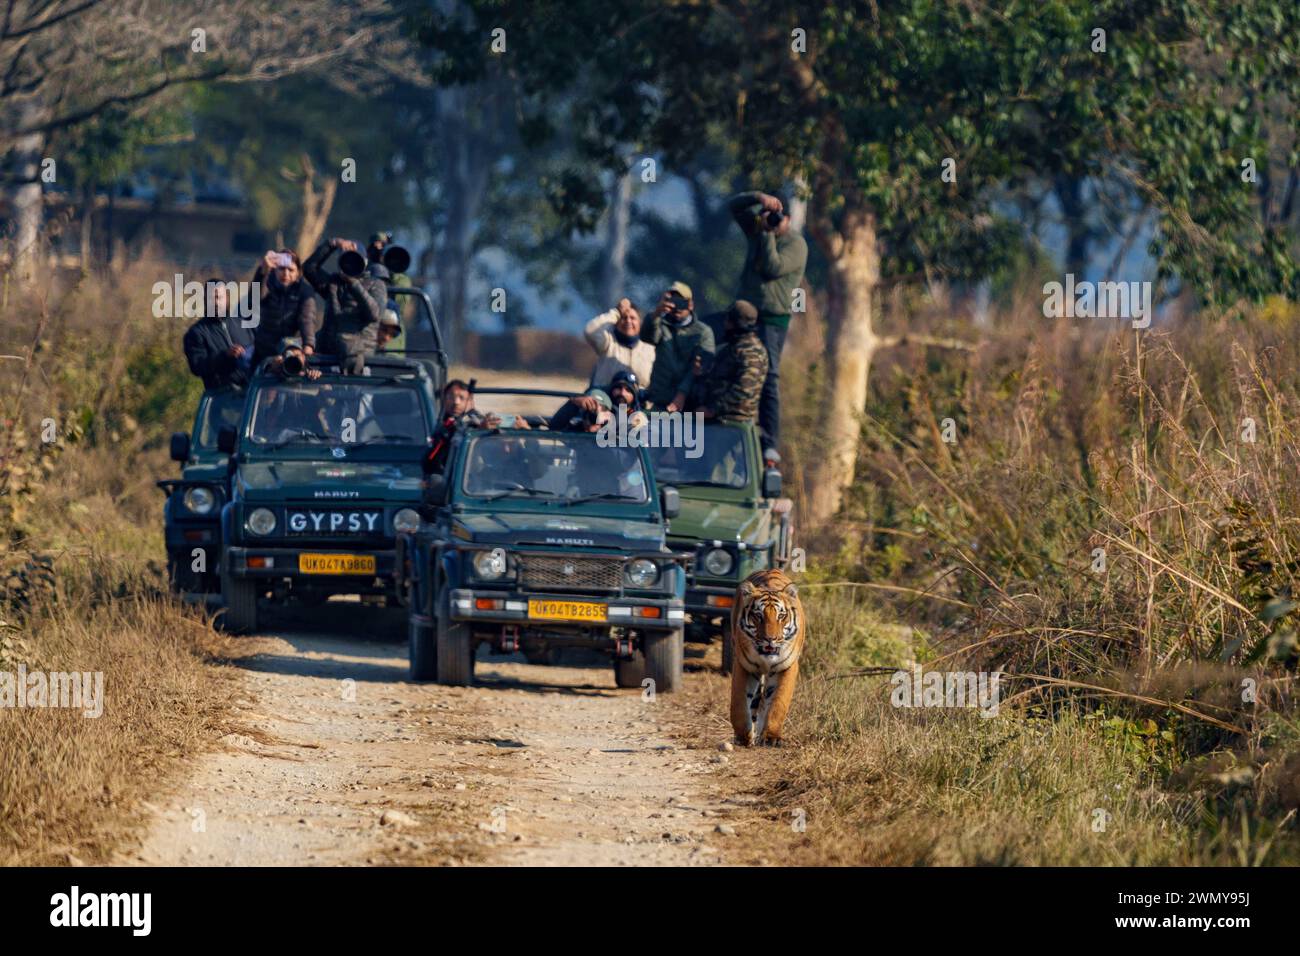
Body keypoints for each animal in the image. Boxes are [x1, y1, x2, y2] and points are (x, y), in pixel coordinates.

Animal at [730, 568, 805, 746]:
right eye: (758, 615)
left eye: (781, 616)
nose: (770, 638)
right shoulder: (744, 665)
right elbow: (739, 702)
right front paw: (742, 736)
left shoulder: (787, 666)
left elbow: (778, 702)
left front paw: (771, 736)